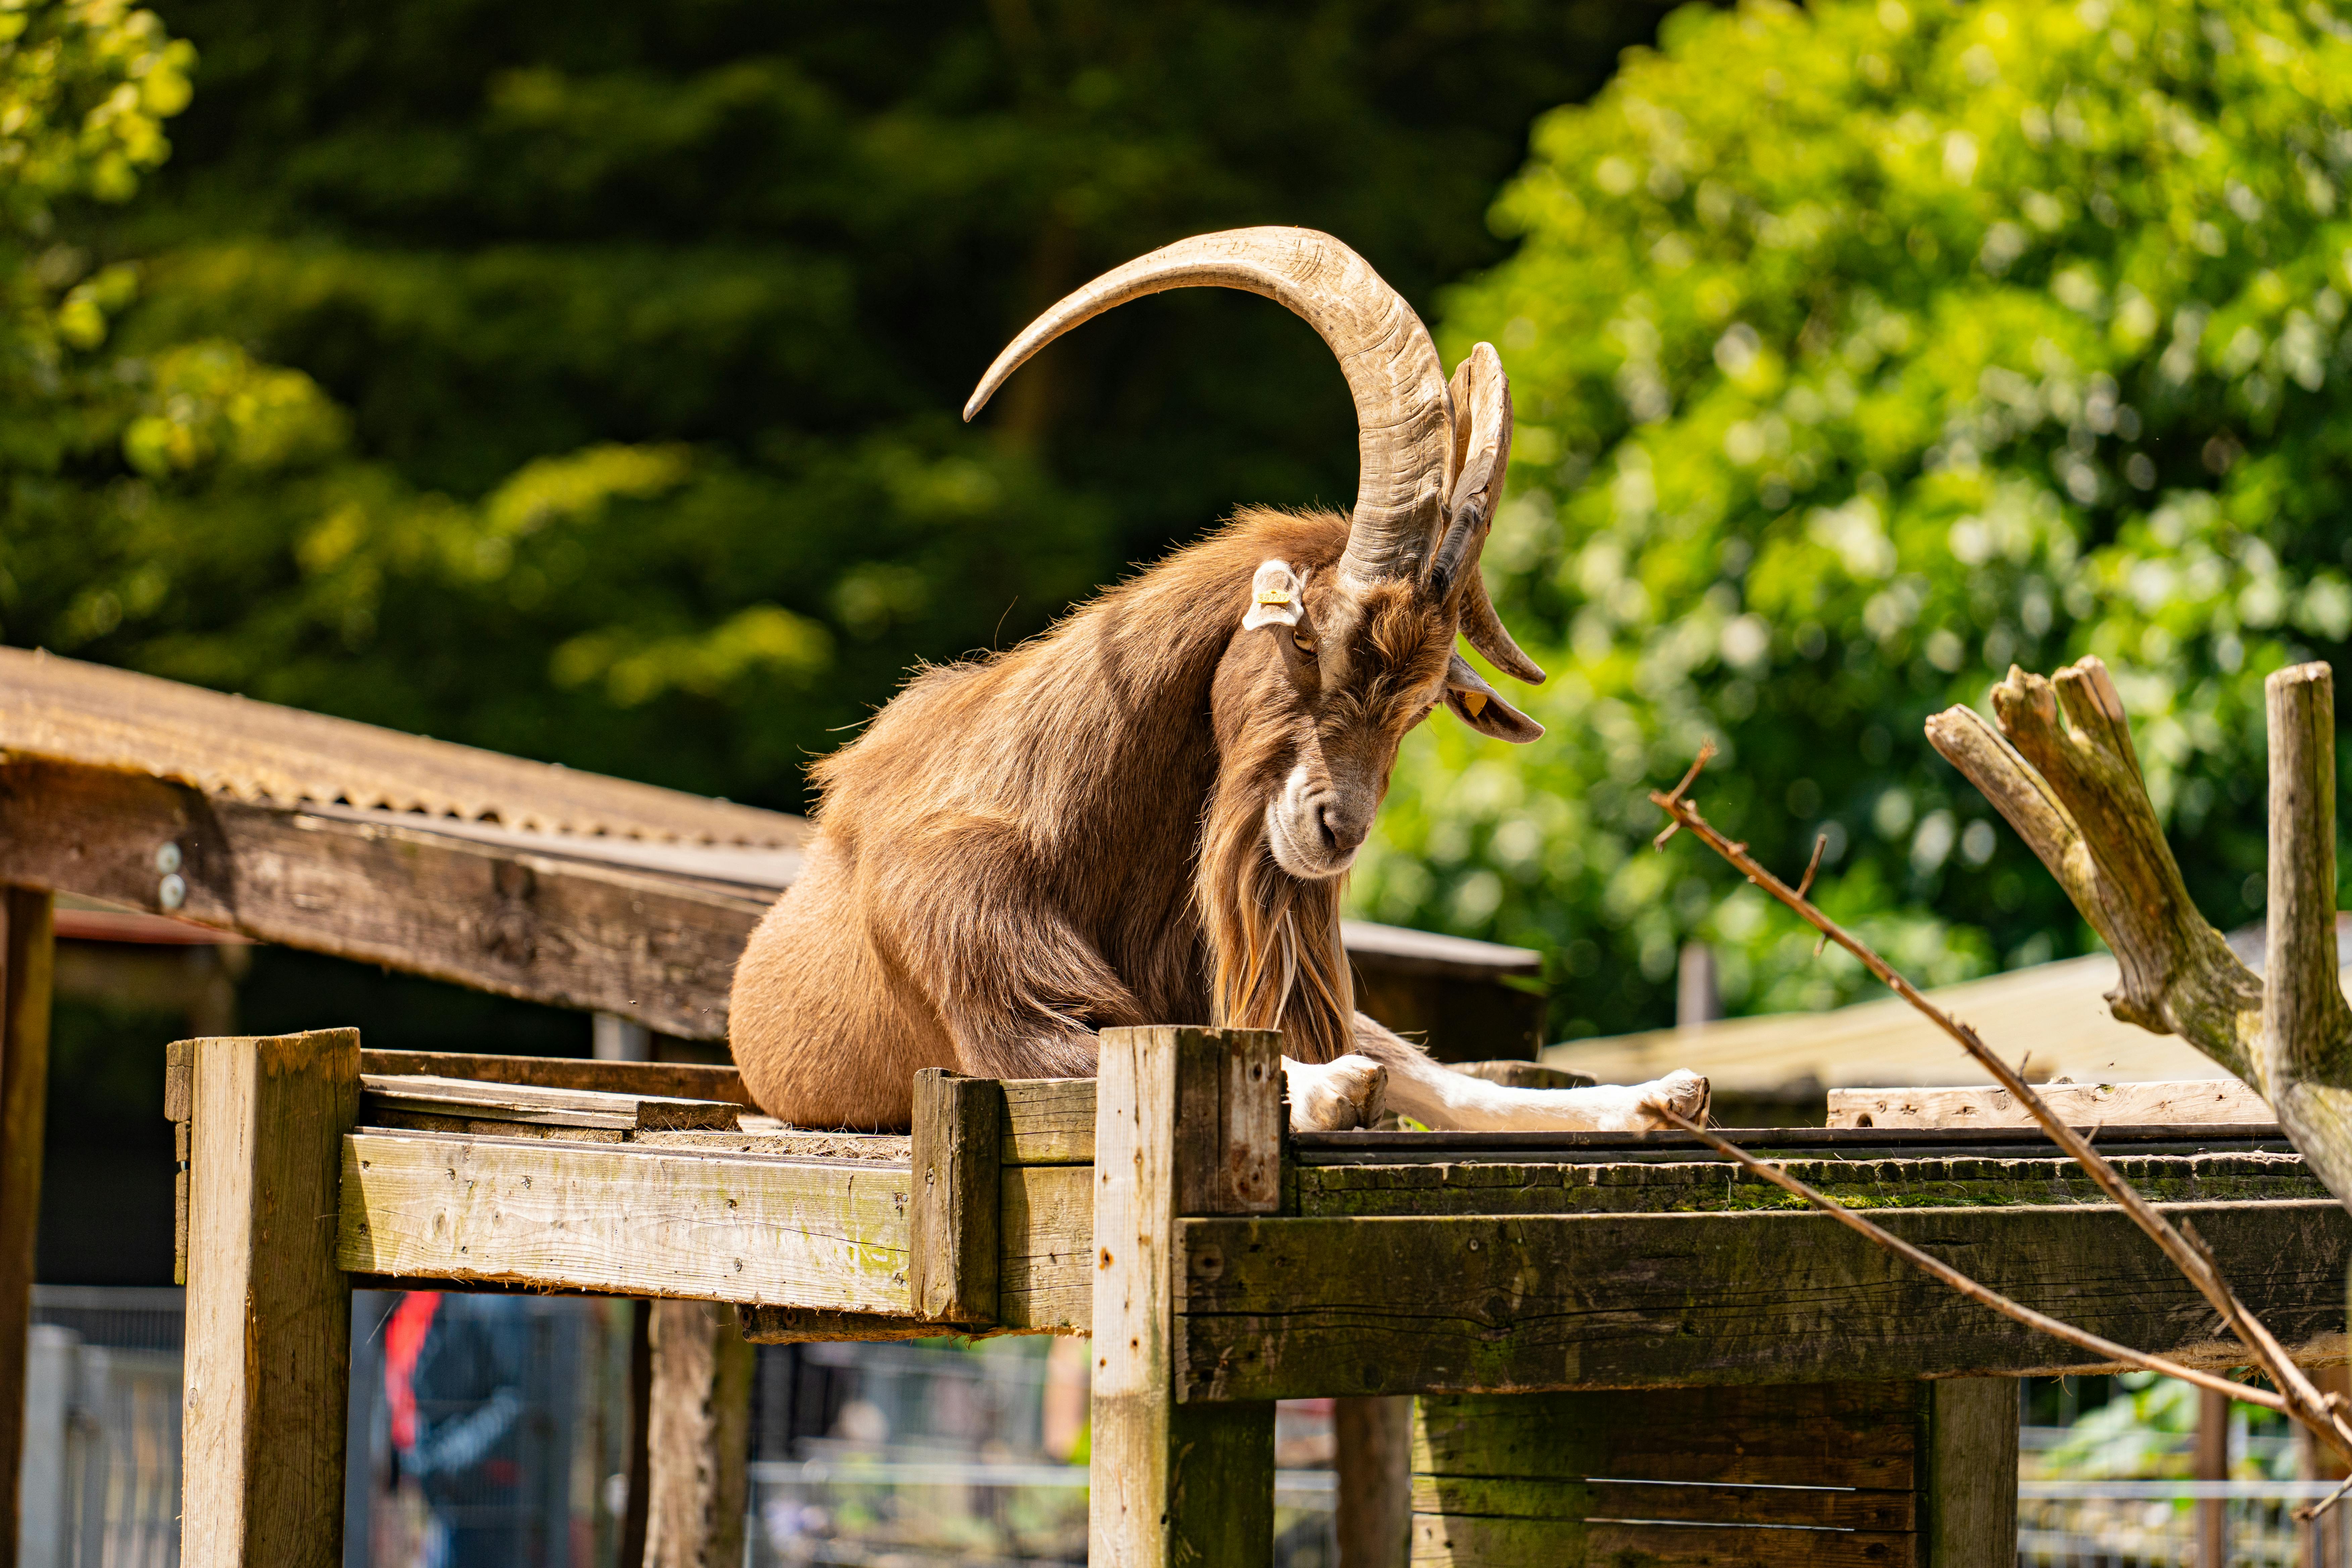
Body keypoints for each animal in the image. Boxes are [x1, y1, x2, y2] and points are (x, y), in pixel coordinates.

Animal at [730, 227, 1707, 1133]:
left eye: (1425, 705)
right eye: (1308, 638)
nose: (1337, 830)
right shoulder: (999, 1013)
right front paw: (1331, 1087)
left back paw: (1665, 1096)